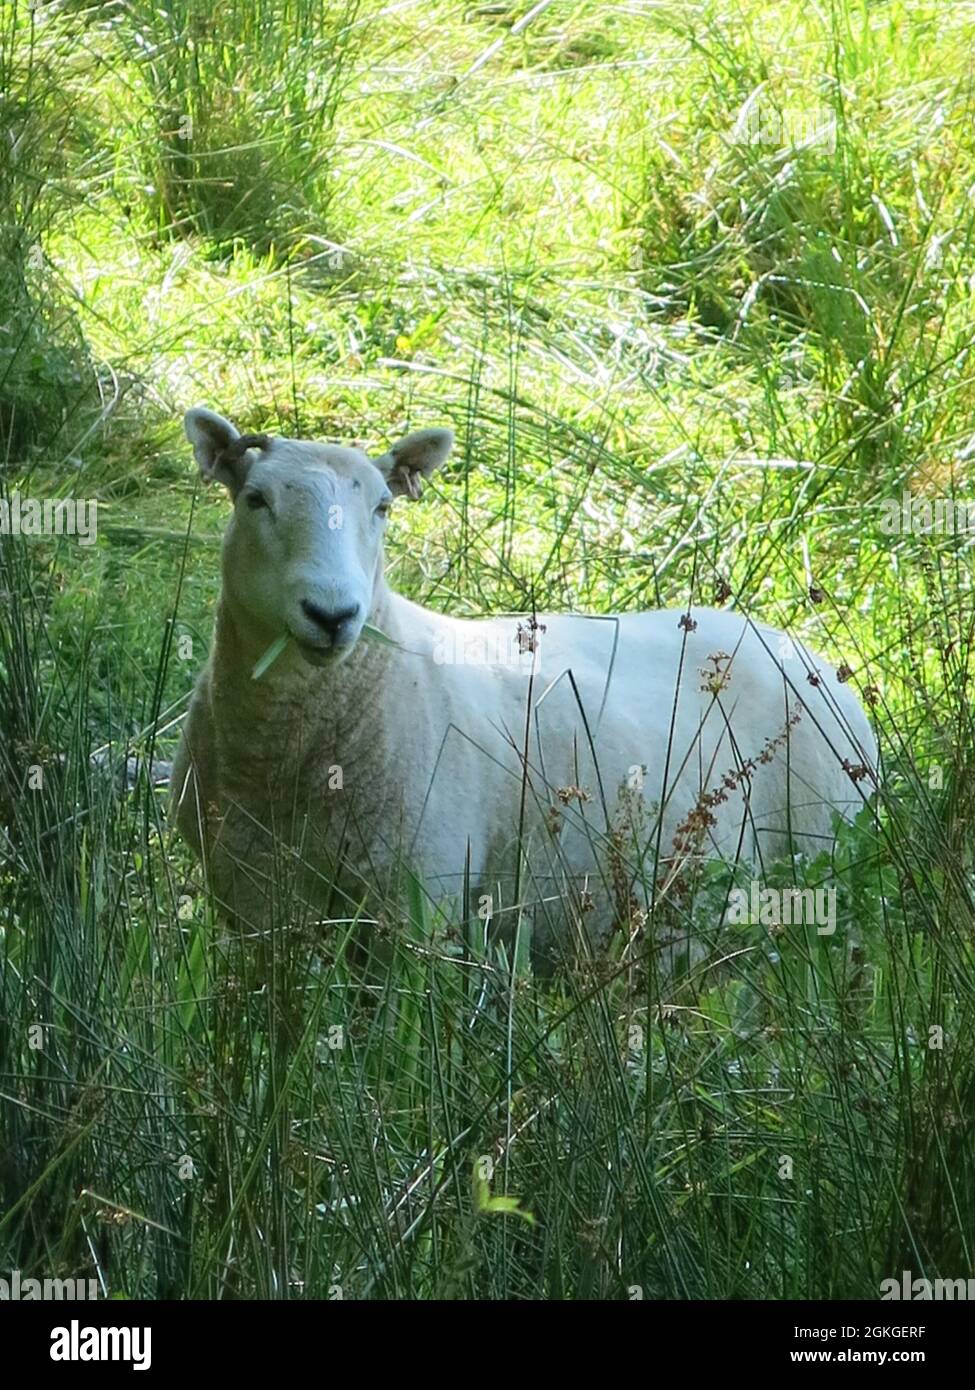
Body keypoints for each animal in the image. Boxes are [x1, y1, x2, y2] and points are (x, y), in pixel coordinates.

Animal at [171, 407, 877, 964]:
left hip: (821, 863)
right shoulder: (248, 901)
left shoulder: (418, 898)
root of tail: (804, 652)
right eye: (255, 500)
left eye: (382, 507)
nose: (333, 614)